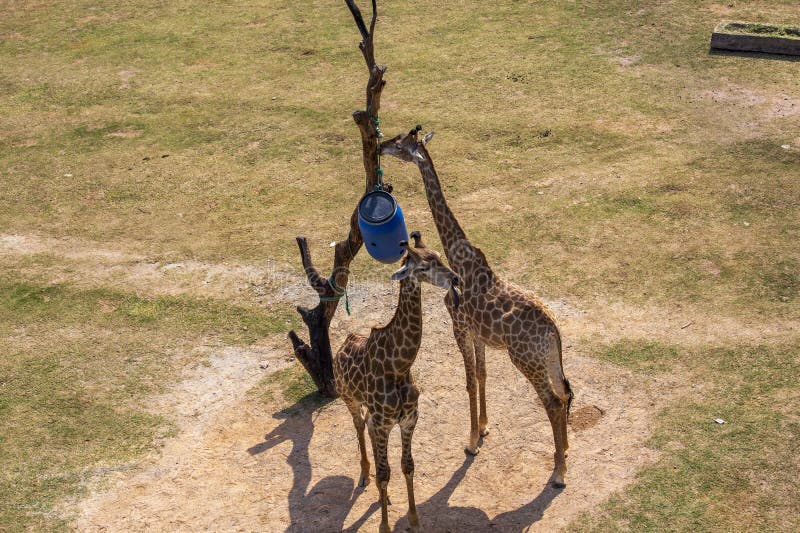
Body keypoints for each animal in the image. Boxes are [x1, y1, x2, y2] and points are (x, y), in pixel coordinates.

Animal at [334, 231, 462, 533]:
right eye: (423, 267)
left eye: (439, 256)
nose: (455, 279)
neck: (399, 366)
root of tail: (343, 344)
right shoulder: (383, 423)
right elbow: (384, 473)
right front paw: (384, 525)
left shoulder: (409, 419)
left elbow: (406, 466)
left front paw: (413, 520)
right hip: (348, 399)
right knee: (359, 428)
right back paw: (364, 475)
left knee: (367, 431)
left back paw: (385, 497)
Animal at [382, 128, 574, 487]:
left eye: (400, 143)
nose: (382, 145)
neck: (457, 254)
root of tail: (553, 330)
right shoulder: (479, 334)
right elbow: (483, 375)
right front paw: (483, 427)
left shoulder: (458, 325)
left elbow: (470, 381)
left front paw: (471, 442)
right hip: (550, 358)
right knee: (565, 392)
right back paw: (565, 451)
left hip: (525, 359)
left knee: (553, 402)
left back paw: (558, 473)